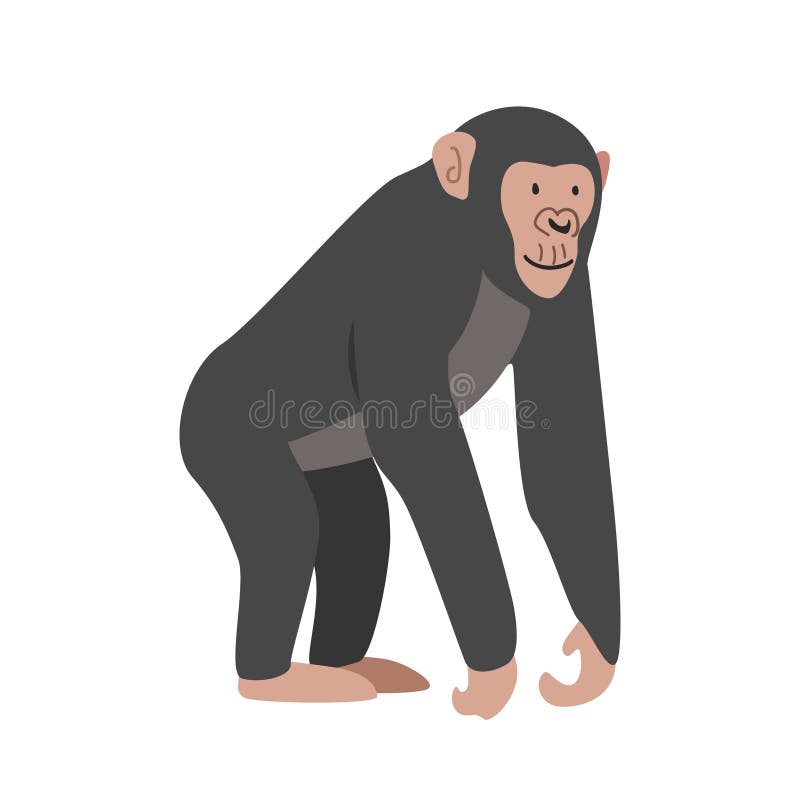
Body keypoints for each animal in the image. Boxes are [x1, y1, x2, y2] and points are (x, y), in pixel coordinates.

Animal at [180, 107, 619, 718]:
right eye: (532, 188)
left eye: (576, 189)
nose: (560, 224)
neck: (475, 244)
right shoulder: (405, 279)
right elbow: (423, 455)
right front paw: (493, 674)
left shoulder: (569, 289)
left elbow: (564, 462)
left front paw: (592, 659)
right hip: (216, 435)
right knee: (287, 532)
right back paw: (276, 682)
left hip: (324, 462)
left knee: (362, 528)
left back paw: (344, 667)